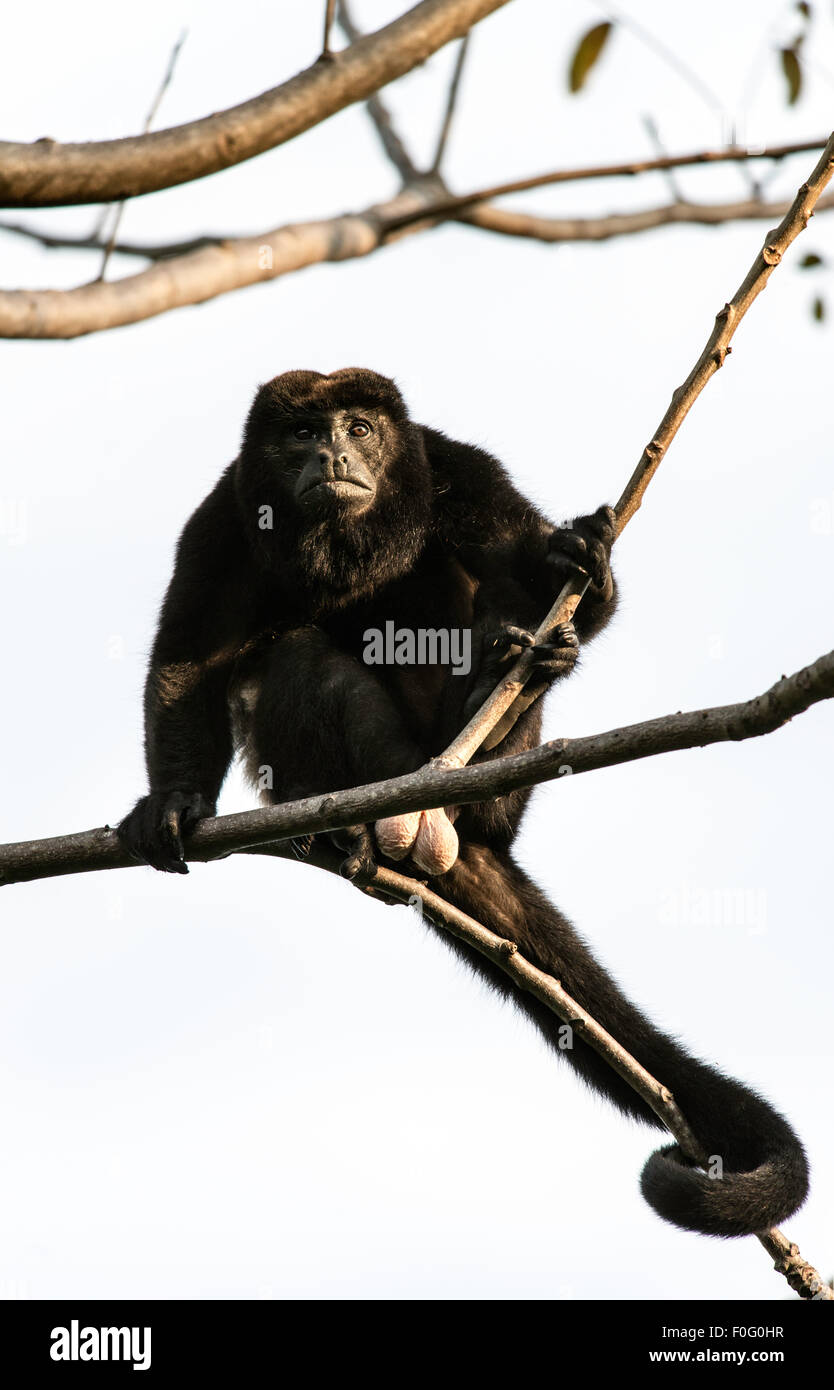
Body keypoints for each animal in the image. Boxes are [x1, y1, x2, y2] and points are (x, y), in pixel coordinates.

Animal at [118, 367, 808, 1239]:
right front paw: (172, 803)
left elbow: (536, 562)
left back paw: (500, 698)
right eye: (303, 433)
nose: (334, 453)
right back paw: (354, 821)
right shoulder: (220, 520)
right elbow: (188, 657)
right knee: (297, 655)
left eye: (359, 427)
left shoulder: (456, 469)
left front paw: (580, 570)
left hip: (504, 797)